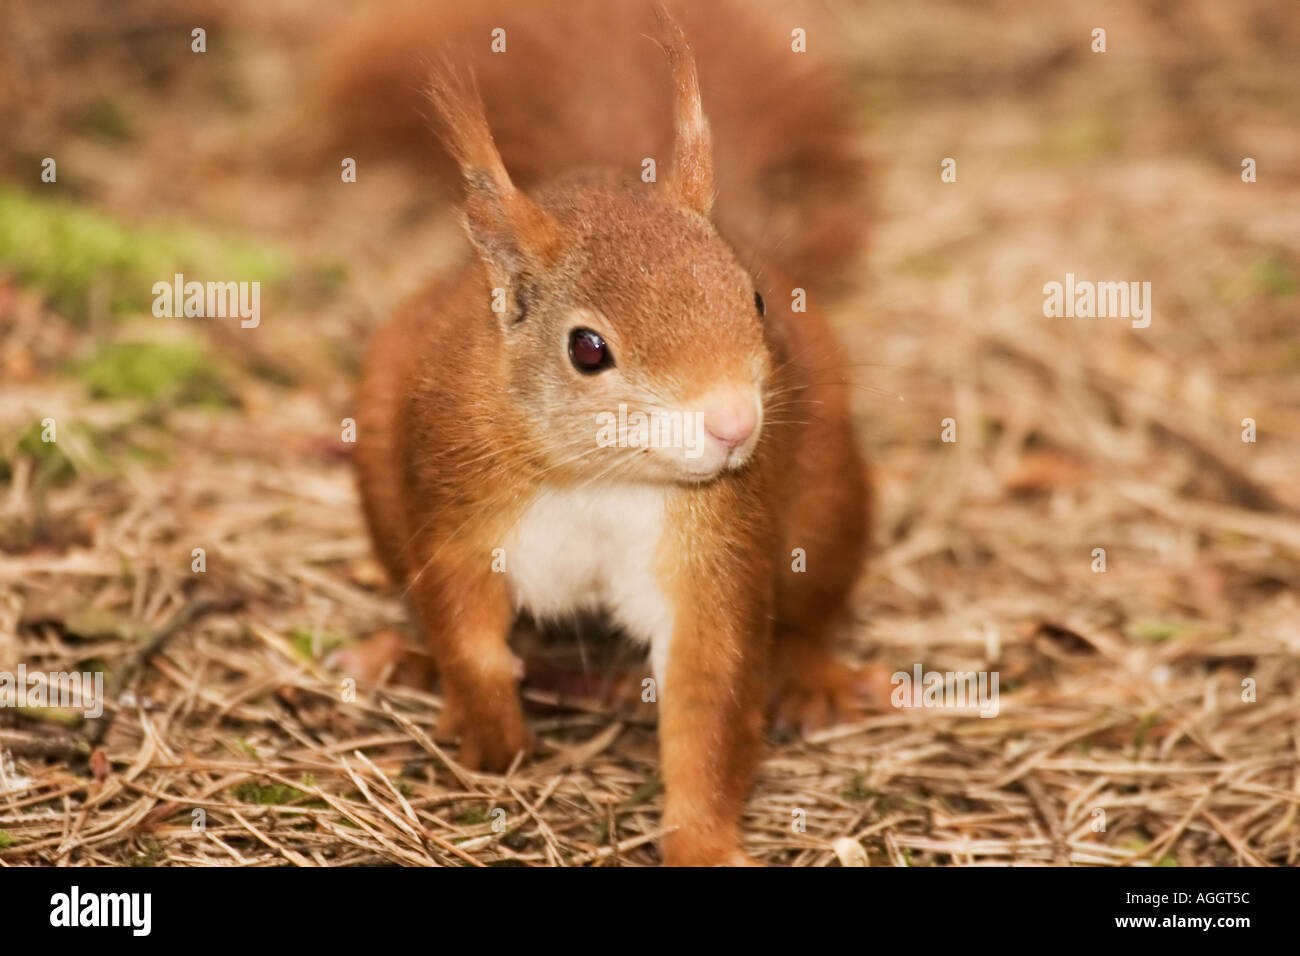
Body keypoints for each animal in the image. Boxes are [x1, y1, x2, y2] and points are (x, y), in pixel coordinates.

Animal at [353, 8, 871, 866]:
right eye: (588, 350)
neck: (601, 474)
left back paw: (810, 679)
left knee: (811, 605)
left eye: (758, 299)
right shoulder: (455, 504)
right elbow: (465, 630)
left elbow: (711, 695)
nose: (735, 425)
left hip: (828, 495)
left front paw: (702, 842)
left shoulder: (714, 547)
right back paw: (411, 662)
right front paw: (492, 738)